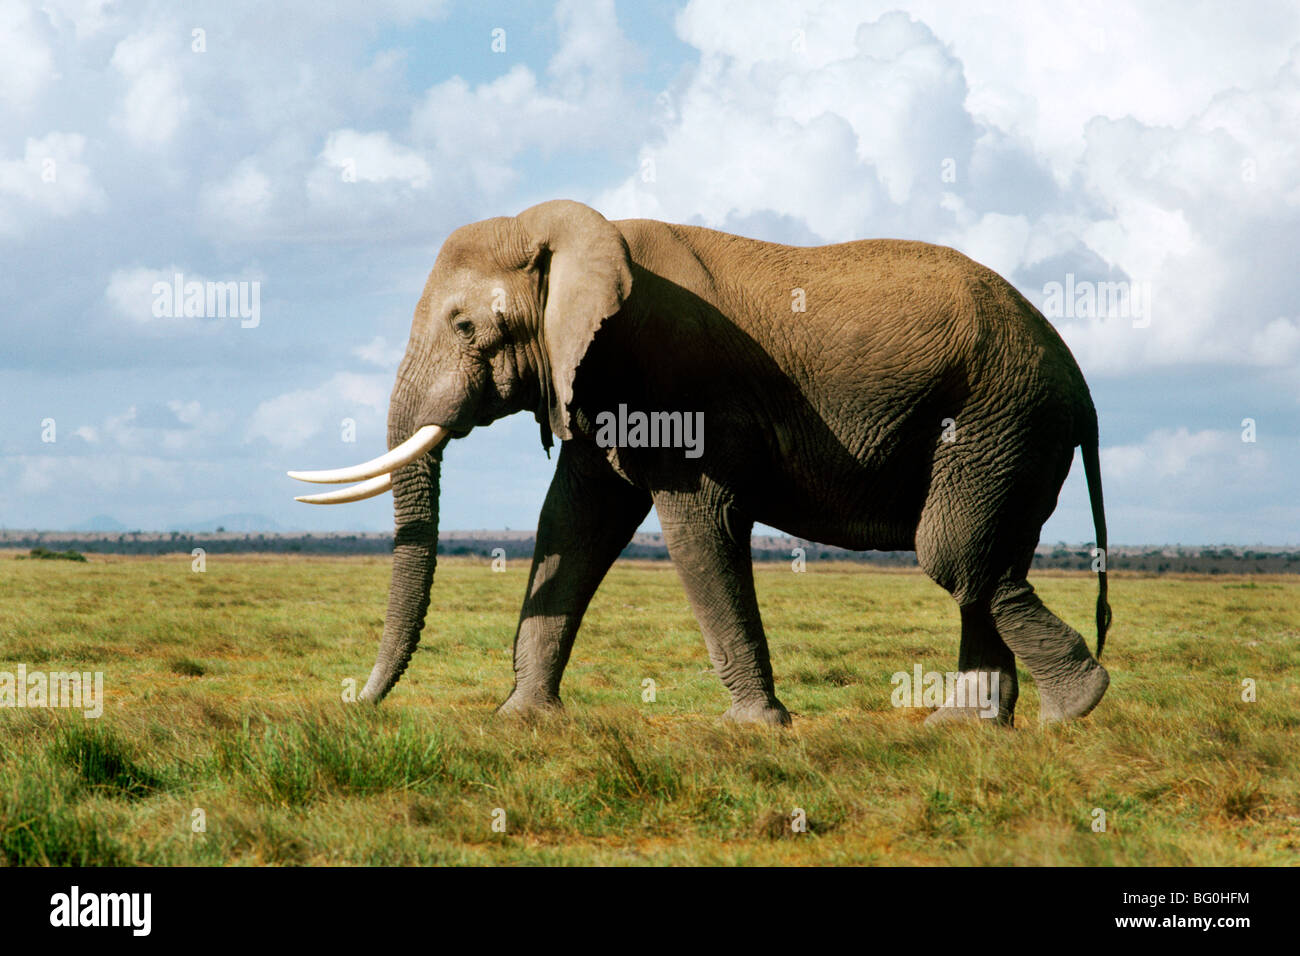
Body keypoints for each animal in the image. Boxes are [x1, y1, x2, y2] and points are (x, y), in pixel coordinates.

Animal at [289, 199, 1111, 727]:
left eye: (465, 326)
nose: (356, 704)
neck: (578, 231)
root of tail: (1080, 380)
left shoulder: (681, 383)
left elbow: (696, 527)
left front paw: (753, 729)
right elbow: (572, 526)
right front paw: (520, 720)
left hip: (997, 414)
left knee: (954, 553)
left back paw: (1075, 708)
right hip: (1014, 427)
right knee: (989, 557)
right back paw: (966, 727)